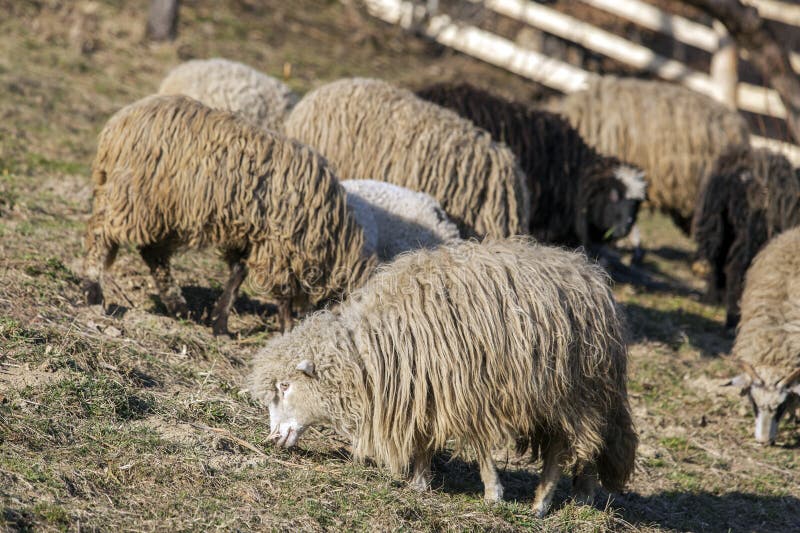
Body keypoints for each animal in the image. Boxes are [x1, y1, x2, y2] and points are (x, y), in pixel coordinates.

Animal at [81, 95, 376, 334]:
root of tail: (119, 122)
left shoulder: (251, 236)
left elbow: (237, 277)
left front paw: (220, 323)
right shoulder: (280, 244)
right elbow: (281, 293)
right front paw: (286, 328)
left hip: (164, 212)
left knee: (153, 254)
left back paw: (179, 307)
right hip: (133, 198)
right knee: (100, 234)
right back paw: (93, 291)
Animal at [249, 237, 637, 517]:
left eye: (285, 386)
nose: (272, 439)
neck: (369, 351)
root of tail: (589, 273)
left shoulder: (469, 388)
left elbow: (480, 445)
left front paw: (493, 493)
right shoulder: (423, 389)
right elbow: (422, 435)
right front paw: (420, 482)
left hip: (572, 390)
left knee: (563, 446)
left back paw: (543, 503)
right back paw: (582, 495)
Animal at [692, 145, 800, 328]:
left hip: (716, 225)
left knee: (717, 262)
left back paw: (713, 300)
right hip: (748, 233)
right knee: (736, 271)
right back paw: (733, 318)